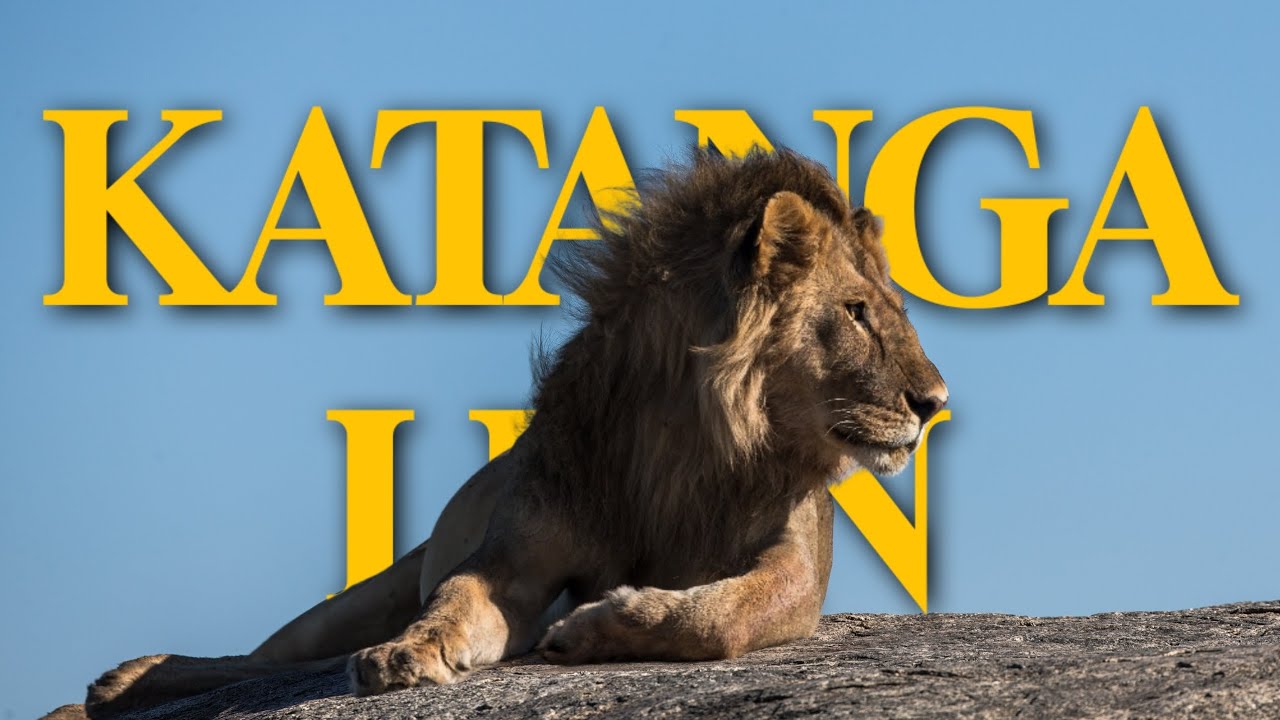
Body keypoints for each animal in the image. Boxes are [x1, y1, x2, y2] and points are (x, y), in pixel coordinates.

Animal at [73, 147, 947, 718]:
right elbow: (458, 597)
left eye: (892, 311)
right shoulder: (514, 558)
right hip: (366, 591)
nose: (935, 401)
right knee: (262, 659)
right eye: (857, 313)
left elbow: (721, 616)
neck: (690, 448)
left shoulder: (797, 568)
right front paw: (407, 654)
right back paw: (127, 679)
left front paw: (593, 627)